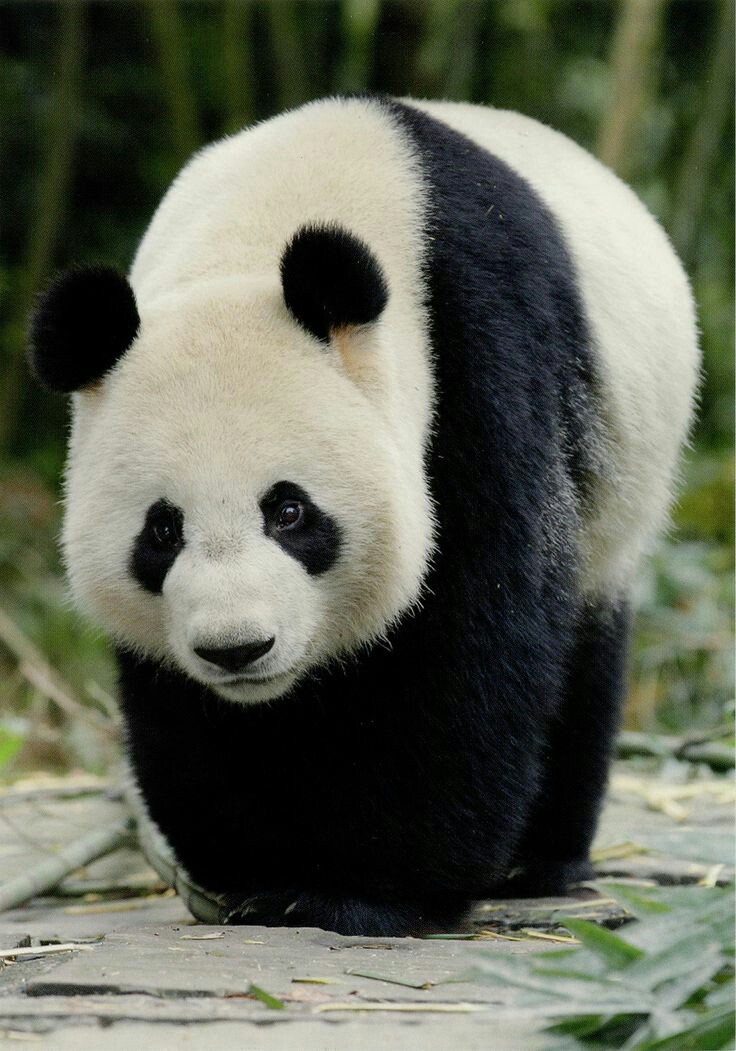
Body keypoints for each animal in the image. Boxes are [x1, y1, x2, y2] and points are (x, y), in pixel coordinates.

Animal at [29, 96, 699, 937]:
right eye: (161, 530)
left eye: (289, 510)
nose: (238, 649)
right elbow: (184, 702)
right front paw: (259, 874)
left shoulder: (481, 354)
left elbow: (474, 631)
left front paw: (374, 889)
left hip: (617, 486)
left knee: (583, 647)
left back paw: (539, 863)